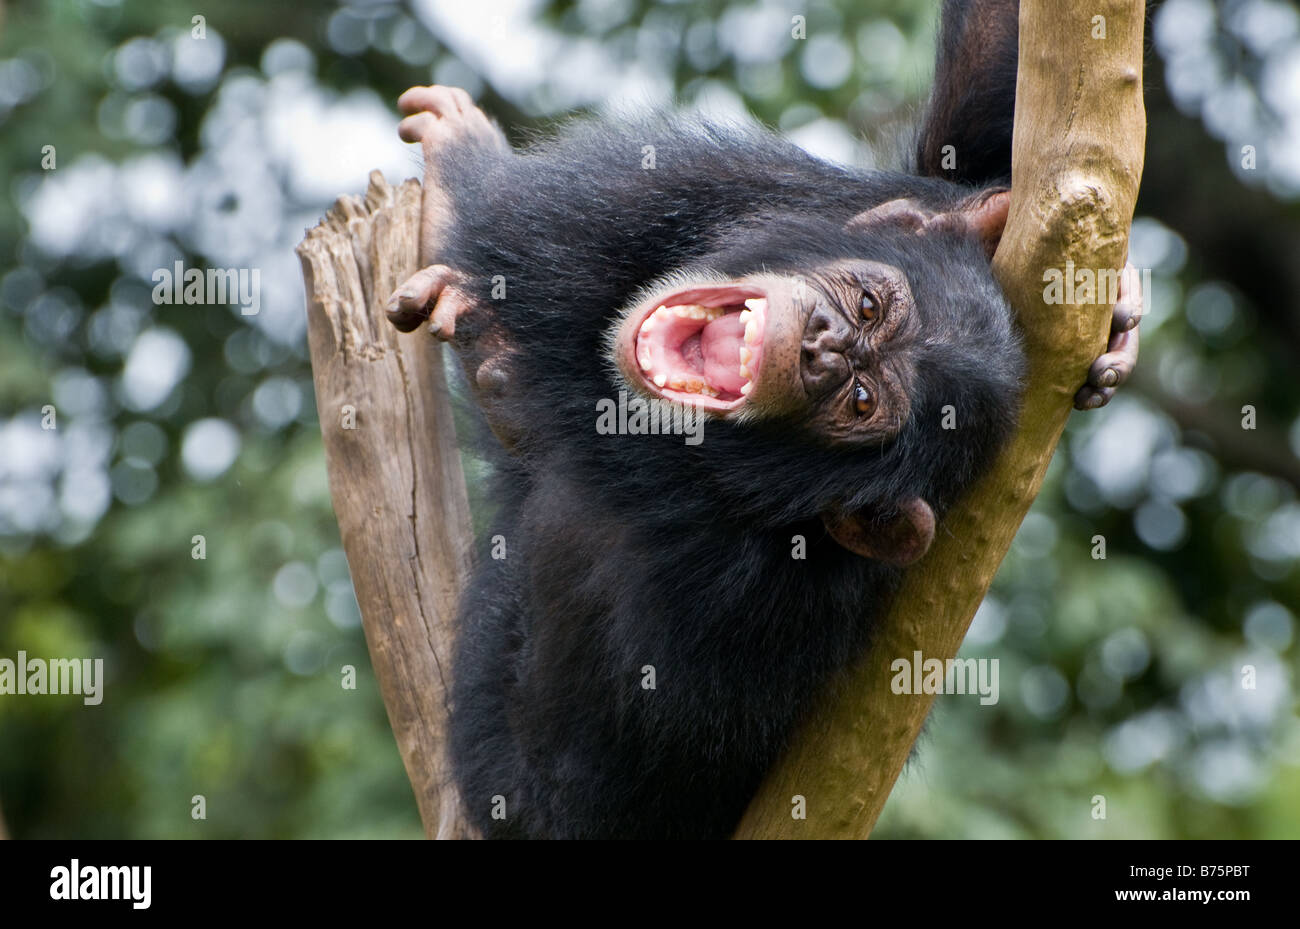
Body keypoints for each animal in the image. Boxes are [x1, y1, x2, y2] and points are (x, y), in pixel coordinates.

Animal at [383, 0, 1141, 838]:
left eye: (862, 403)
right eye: (869, 307)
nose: (825, 347)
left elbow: (520, 273)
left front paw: (463, 177)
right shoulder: (760, 185)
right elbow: (988, 139)